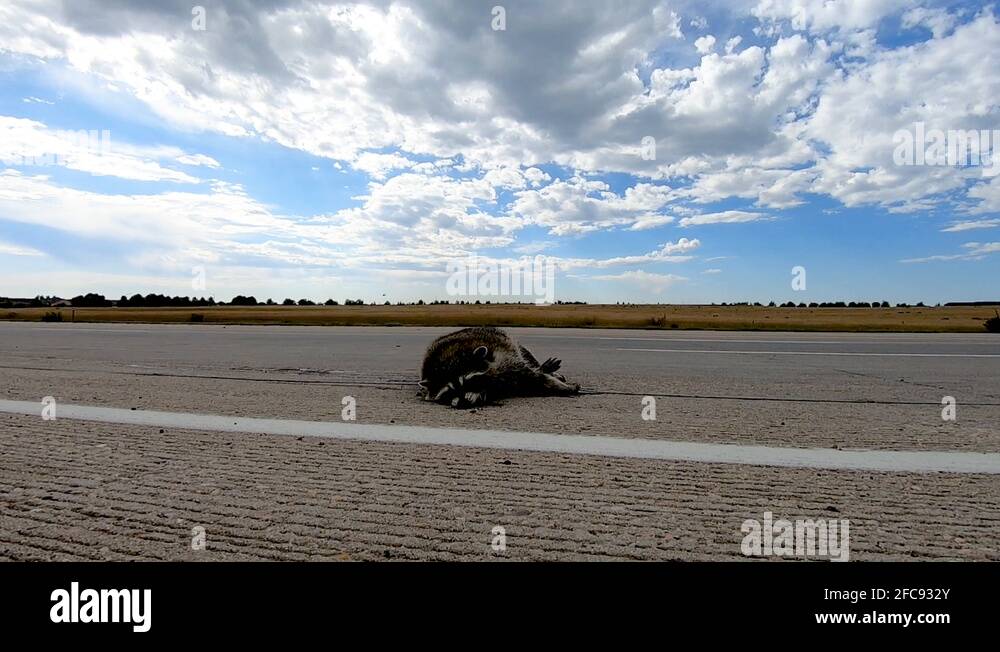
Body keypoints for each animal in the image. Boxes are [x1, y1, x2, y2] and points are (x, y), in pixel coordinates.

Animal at [418, 327, 580, 408]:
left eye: (470, 382)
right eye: (450, 392)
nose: (463, 403)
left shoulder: (506, 360)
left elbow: (533, 377)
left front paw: (563, 386)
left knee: (529, 360)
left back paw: (546, 369)